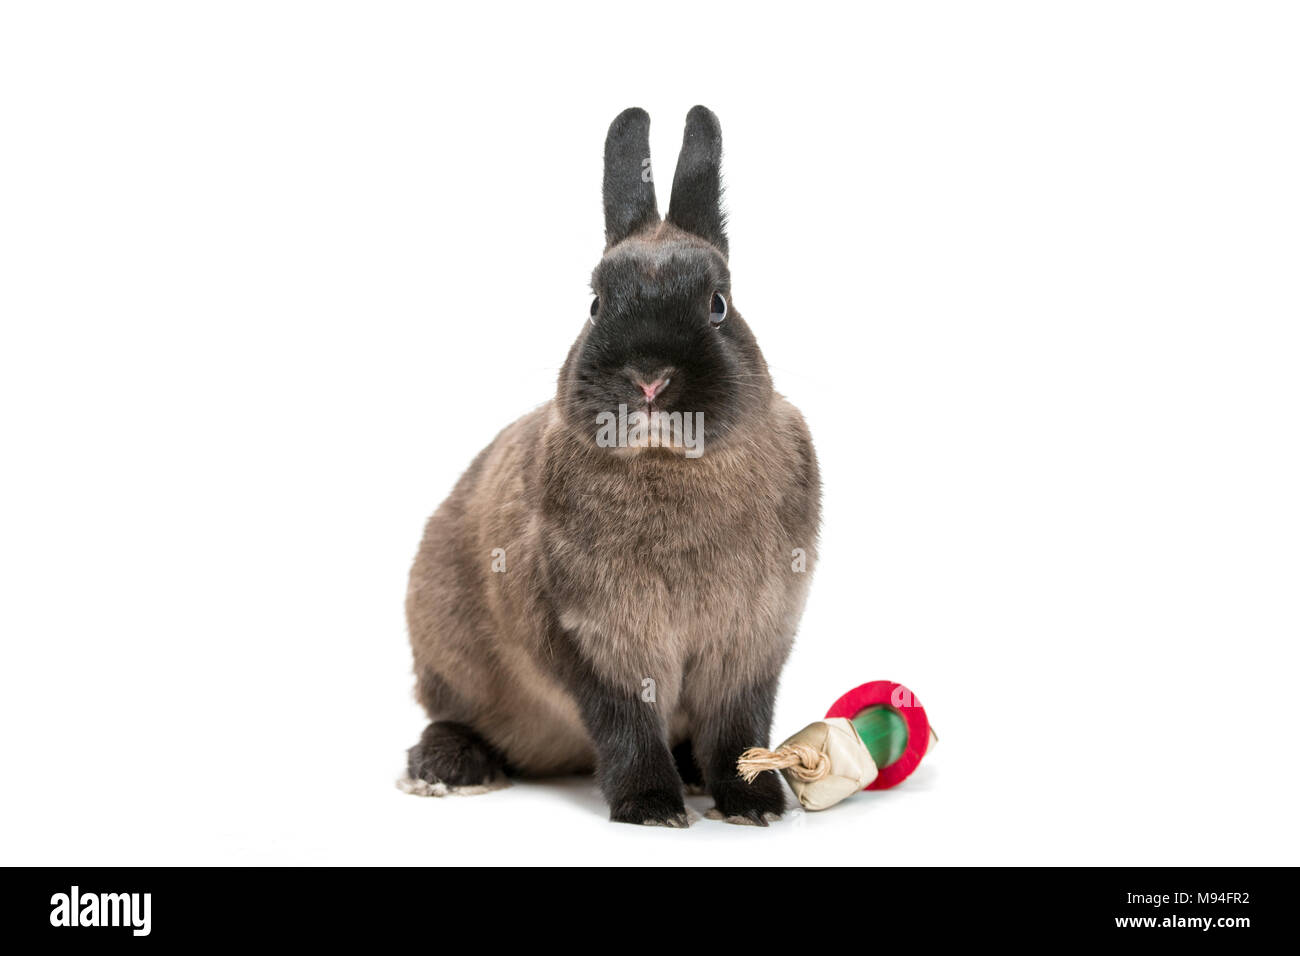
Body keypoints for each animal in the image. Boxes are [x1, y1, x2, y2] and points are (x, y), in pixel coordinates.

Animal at [404, 106, 820, 826]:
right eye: (596, 304)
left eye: (719, 305)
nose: (649, 377)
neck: (668, 463)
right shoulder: (593, 641)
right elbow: (626, 724)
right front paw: (651, 807)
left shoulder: (751, 644)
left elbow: (736, 728)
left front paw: (753, 803)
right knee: (453, 715)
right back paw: (448, 769)